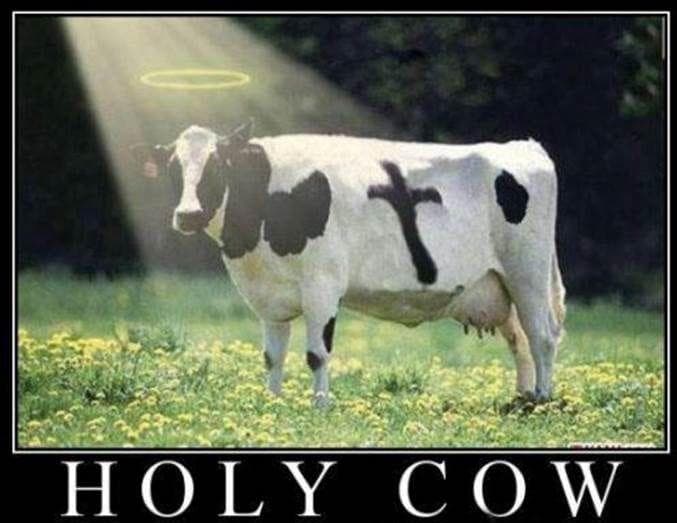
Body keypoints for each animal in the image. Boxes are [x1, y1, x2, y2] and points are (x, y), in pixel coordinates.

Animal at [132, 120, 566, 407]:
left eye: (218, 167)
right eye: (173, 169)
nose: (187, 215)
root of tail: (521, 146)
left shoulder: (322, 284)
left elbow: (316, 354)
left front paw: (320, 406)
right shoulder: (269, 297)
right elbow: (272, 355)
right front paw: (271, 403)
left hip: (527, 272)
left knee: (542, 335)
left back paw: (543, 400)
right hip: (498, 284)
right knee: (519, 339)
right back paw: (521, 399)